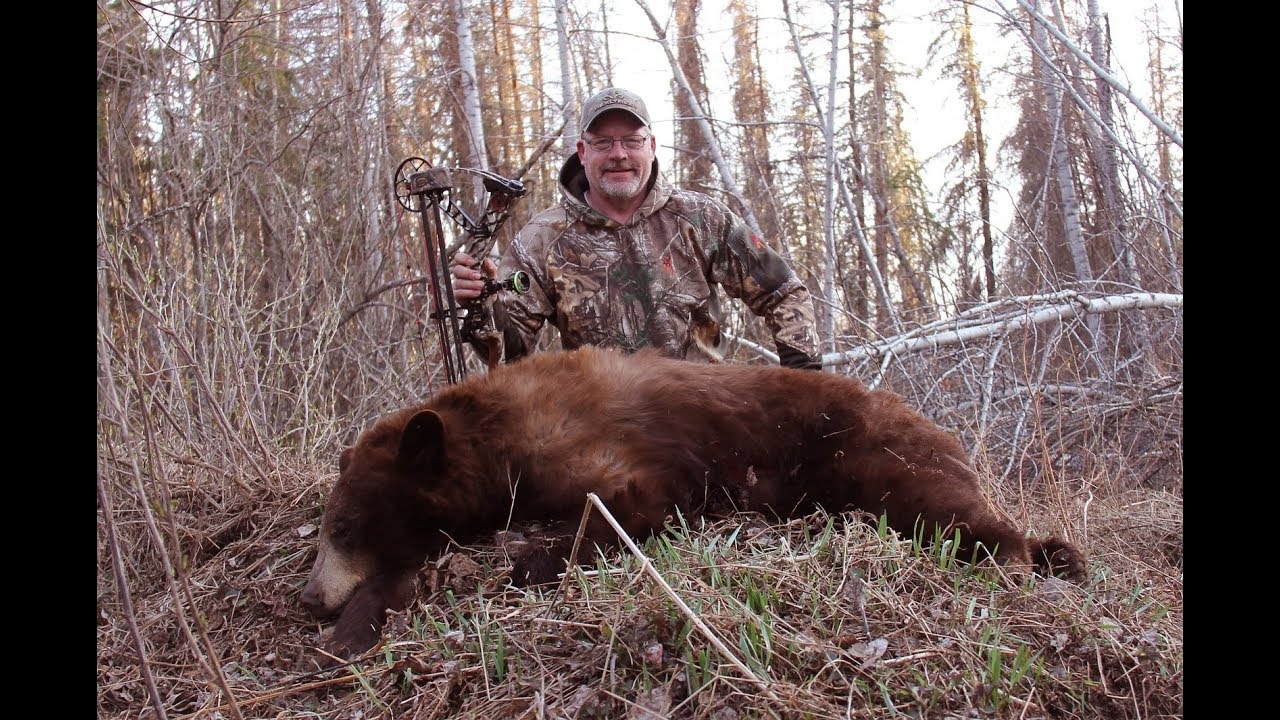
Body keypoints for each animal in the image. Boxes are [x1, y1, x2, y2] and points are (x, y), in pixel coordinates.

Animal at [300, 346, 1086, 657]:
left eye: (345, 523)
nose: (307, 598)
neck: (498, 439)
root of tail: (941, 425)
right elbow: (410, 566)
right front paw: (352, 627)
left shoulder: (610, 454)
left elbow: (629, 508)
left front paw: (527, 561)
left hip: (877, 455)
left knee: (954, 512)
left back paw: (1021, 559)